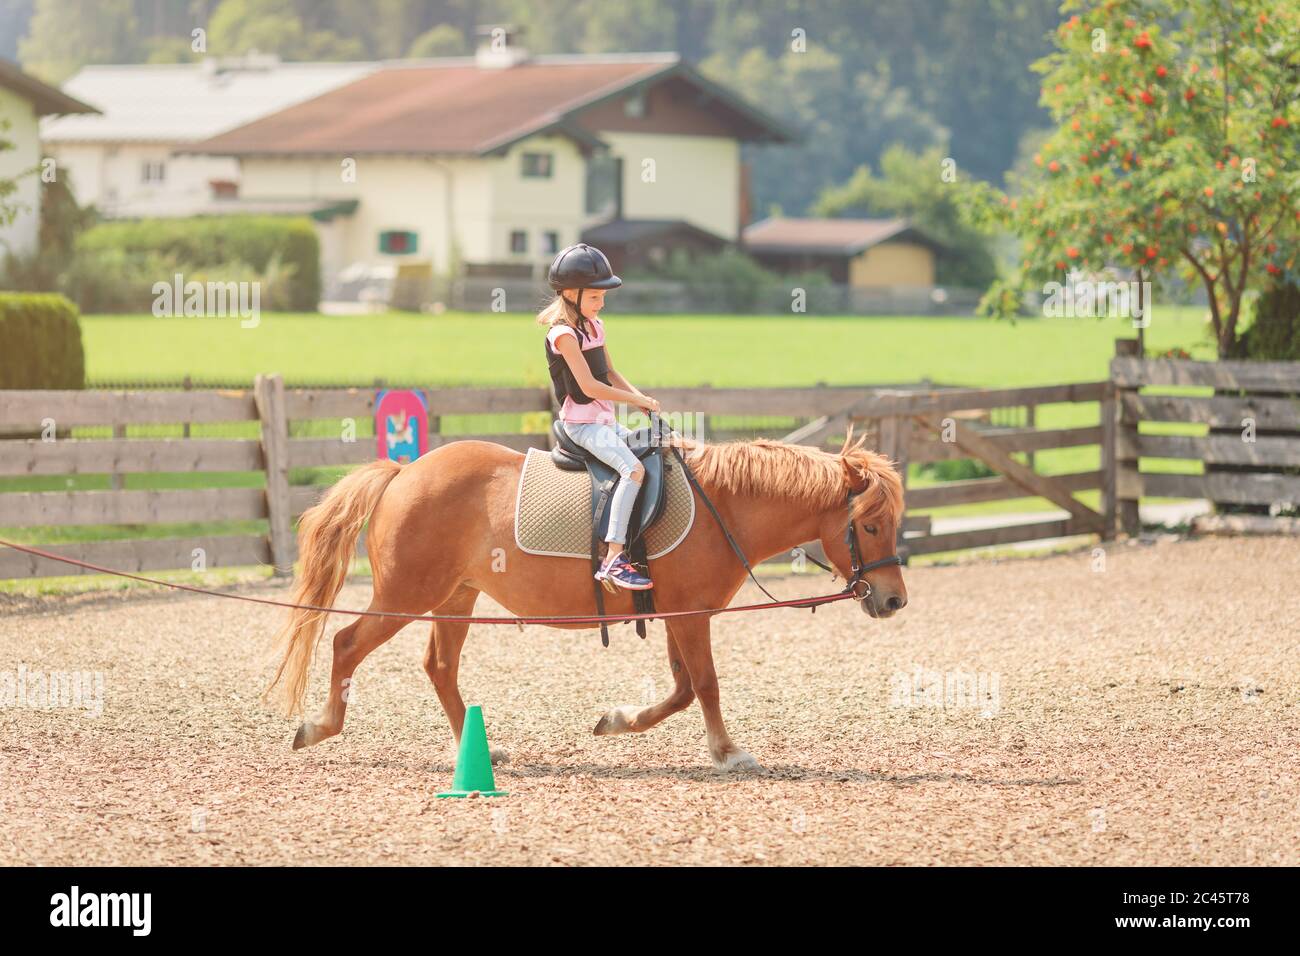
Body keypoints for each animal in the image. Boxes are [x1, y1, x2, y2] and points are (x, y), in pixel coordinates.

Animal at [265, 427, 907, 772]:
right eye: (871, 526)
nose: (895, 601)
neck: (721, 504)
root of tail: (404, 472)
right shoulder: (692, 616)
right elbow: (704, 685)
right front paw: (729, 753)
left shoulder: (676, 614)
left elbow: (680, 690)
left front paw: (617, 720)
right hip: (406, 594)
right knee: (347, 643)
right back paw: (318, 727)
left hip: (455, 598)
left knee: (439, 666)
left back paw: (474, 750)